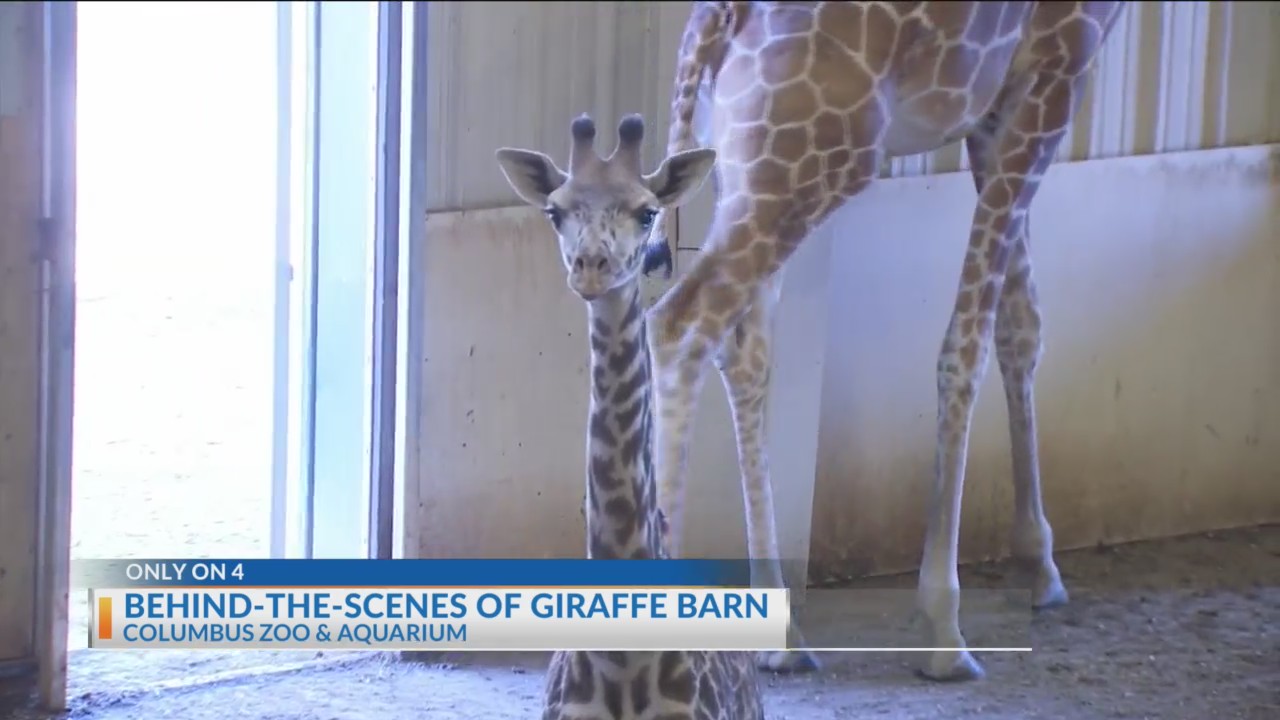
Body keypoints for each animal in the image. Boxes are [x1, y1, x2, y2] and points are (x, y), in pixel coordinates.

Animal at [640, 1, 1130, 681]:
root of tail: (716, 19)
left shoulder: (990, 110)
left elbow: (1021, 325)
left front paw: (1040, 566)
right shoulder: (1057, 68)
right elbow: (966, 346)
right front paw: (944, 627)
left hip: (745, 175)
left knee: (742, 350)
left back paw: (783, 637)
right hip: (805, 168)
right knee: (680, 325)